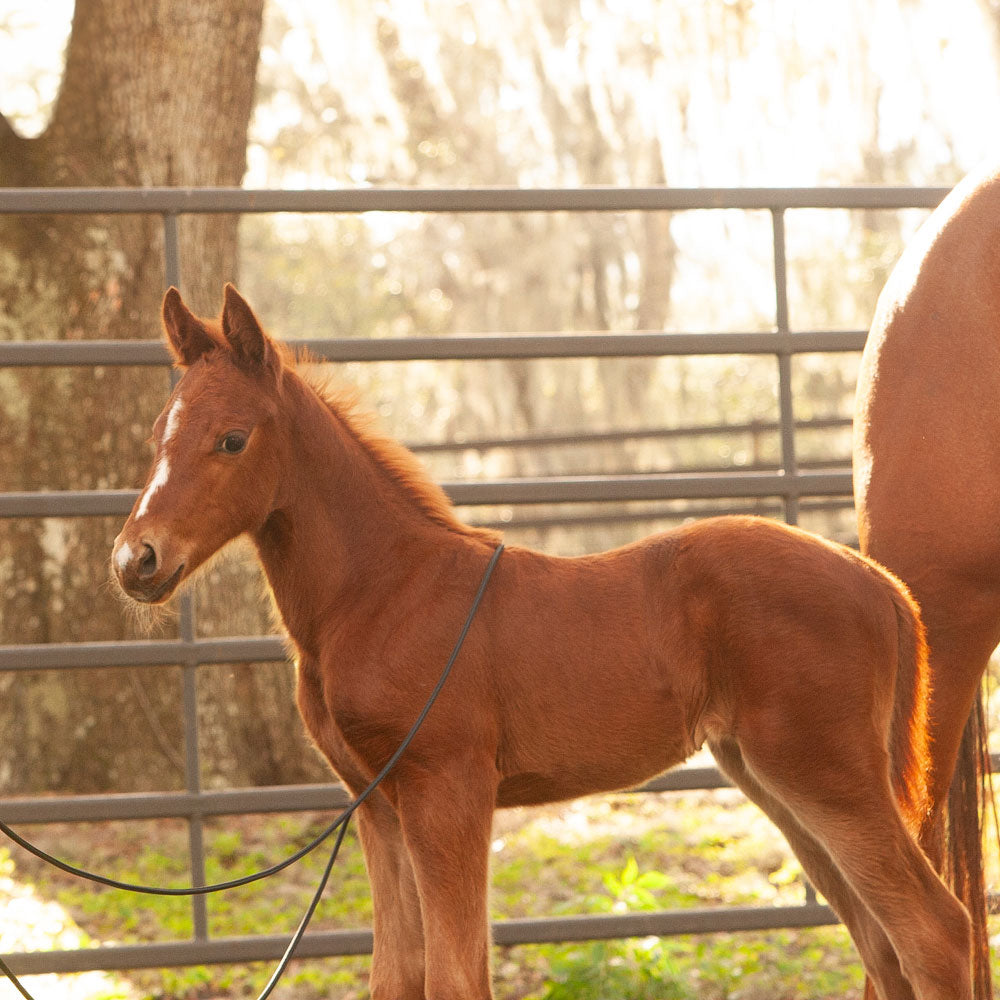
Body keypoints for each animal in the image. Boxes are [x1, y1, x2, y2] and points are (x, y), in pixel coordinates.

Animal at [112, 284, 971, 1000]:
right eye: (155, 434)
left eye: (232, 439)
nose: (136, 560)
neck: (385, 591)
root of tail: (878, 583)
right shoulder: (379, 807)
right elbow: (396, 977)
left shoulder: (447, 792)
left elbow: (456, 980)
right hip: (776, 780)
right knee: (882, 944)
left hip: (827, 776)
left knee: (935, 933)